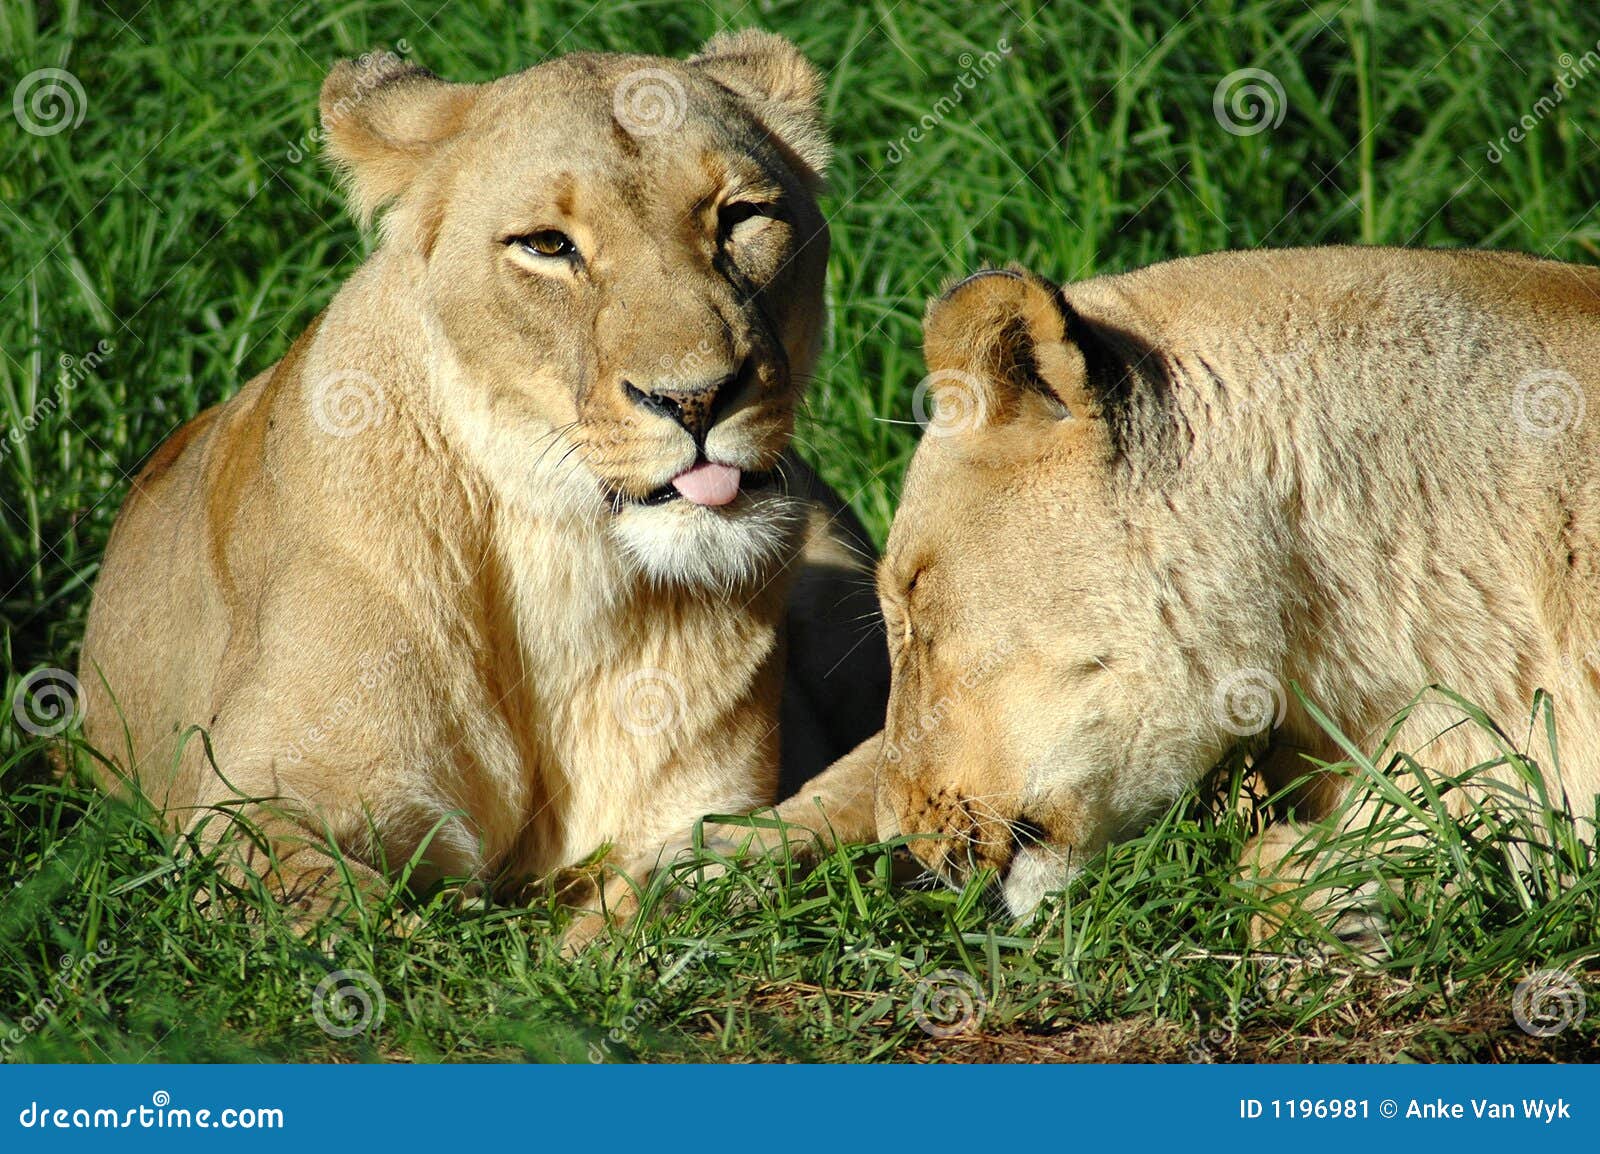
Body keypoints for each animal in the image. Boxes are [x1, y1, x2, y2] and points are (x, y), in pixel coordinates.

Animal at [76, 30, 887, 943]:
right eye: (547, 245)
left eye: (741, 216)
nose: (698, 399)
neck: (564, 557)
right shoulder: (244, 807)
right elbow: (364, 922)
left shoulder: (691, 805)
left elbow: (692, 880)